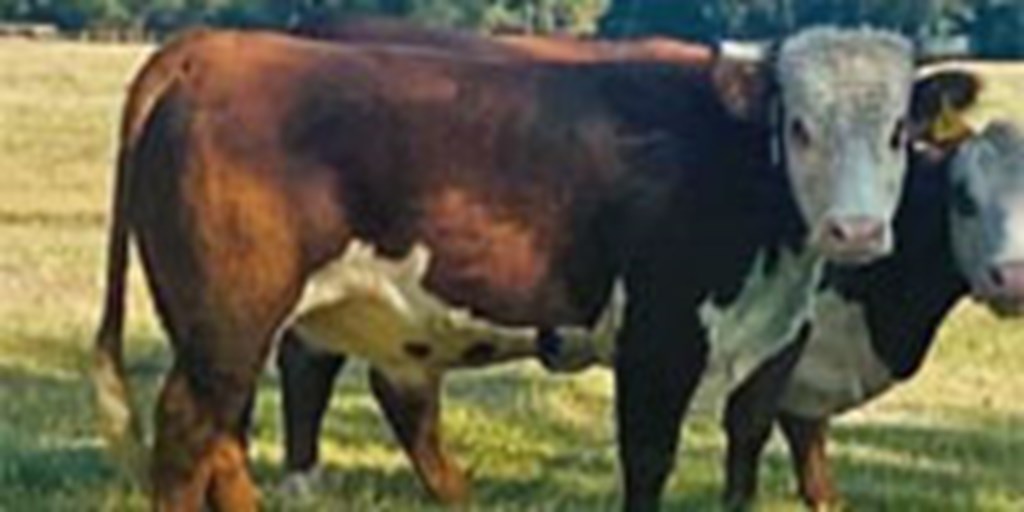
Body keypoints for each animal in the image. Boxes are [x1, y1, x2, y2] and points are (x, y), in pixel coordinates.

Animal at [91, 27, 916, 511]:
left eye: (900, 133)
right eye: (799, 127)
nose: (857, 230)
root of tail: (209, 49)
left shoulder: (777, 344)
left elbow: (745, 451)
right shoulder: (657, 341)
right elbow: (649, 460)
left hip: (229, 335)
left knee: (229, 437)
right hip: (227, 328)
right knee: (190, 433)